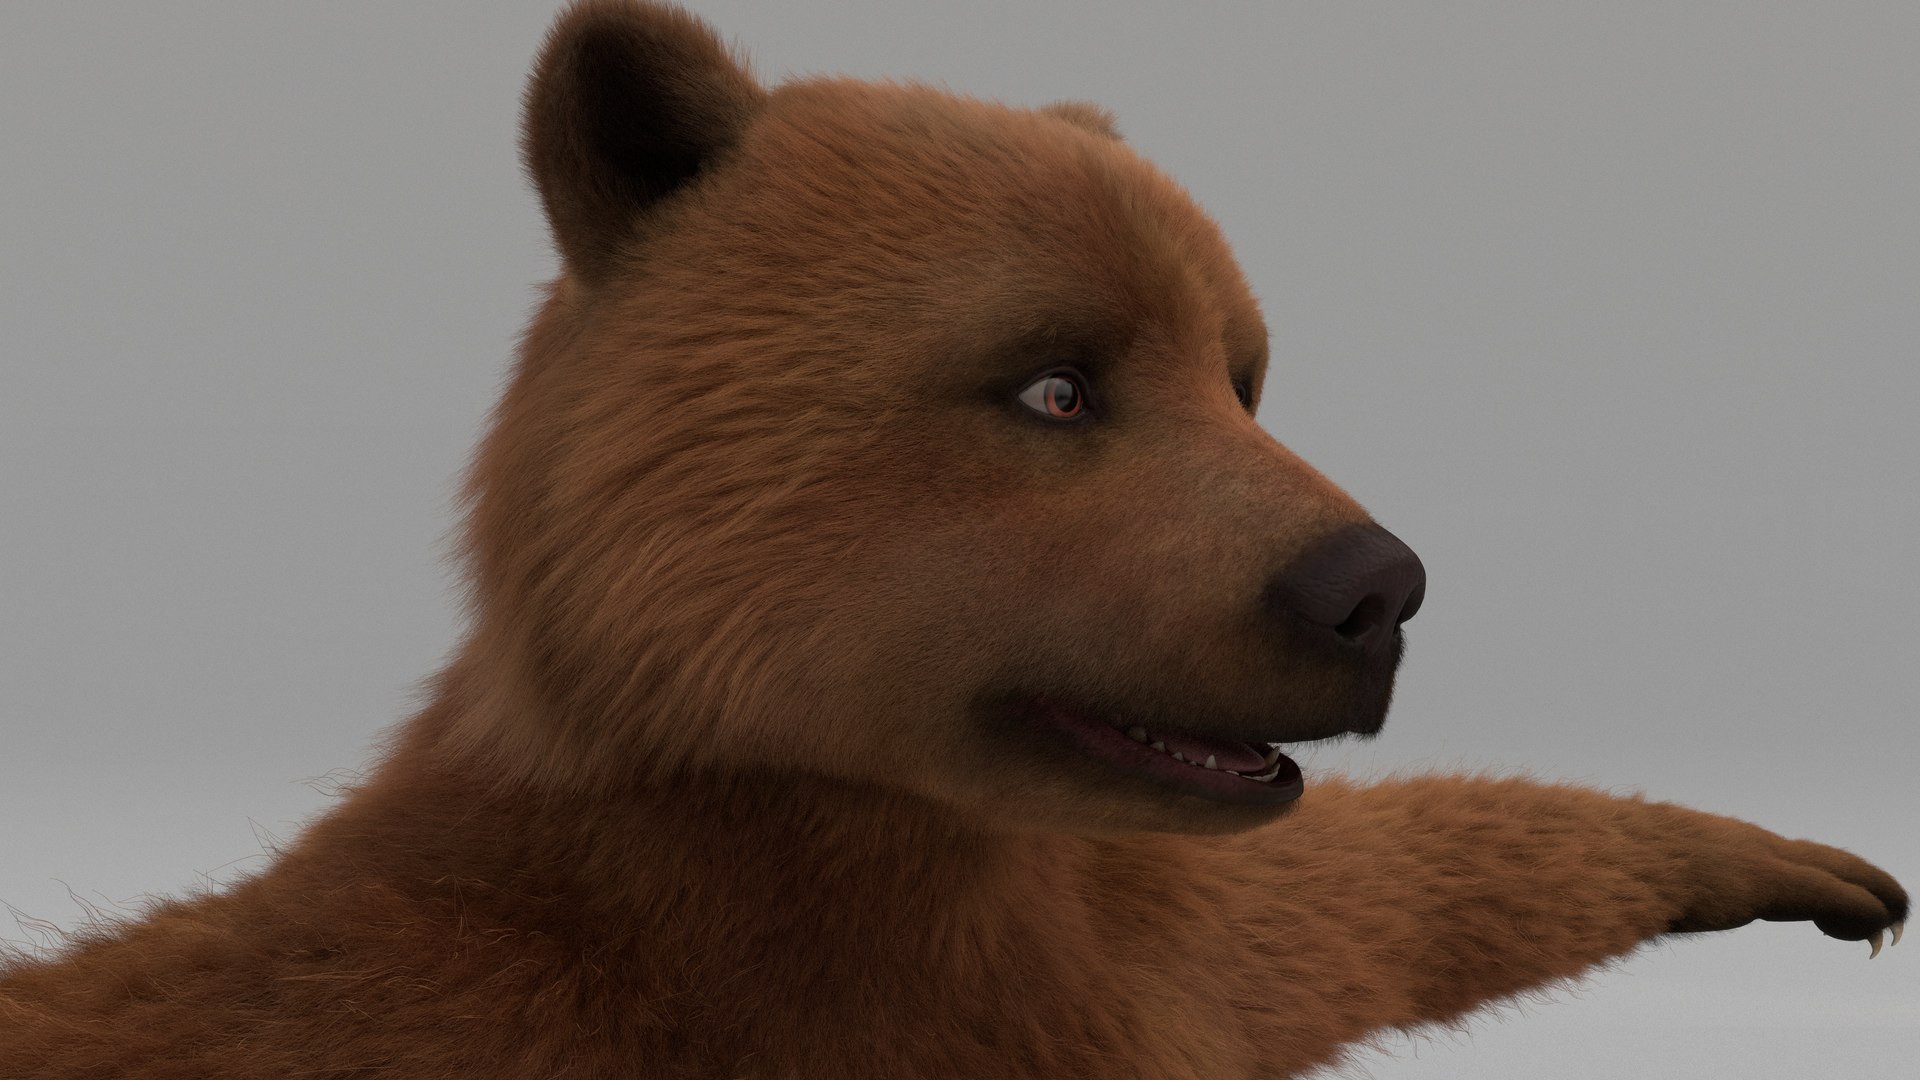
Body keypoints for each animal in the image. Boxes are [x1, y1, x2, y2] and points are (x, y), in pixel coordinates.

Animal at [0, 1, 1906, 1077]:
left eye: (1240, 371)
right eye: (1056, 382)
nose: (1376, 589)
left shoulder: (1065, 940)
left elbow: (1328, 903)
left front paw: (1790, 858)